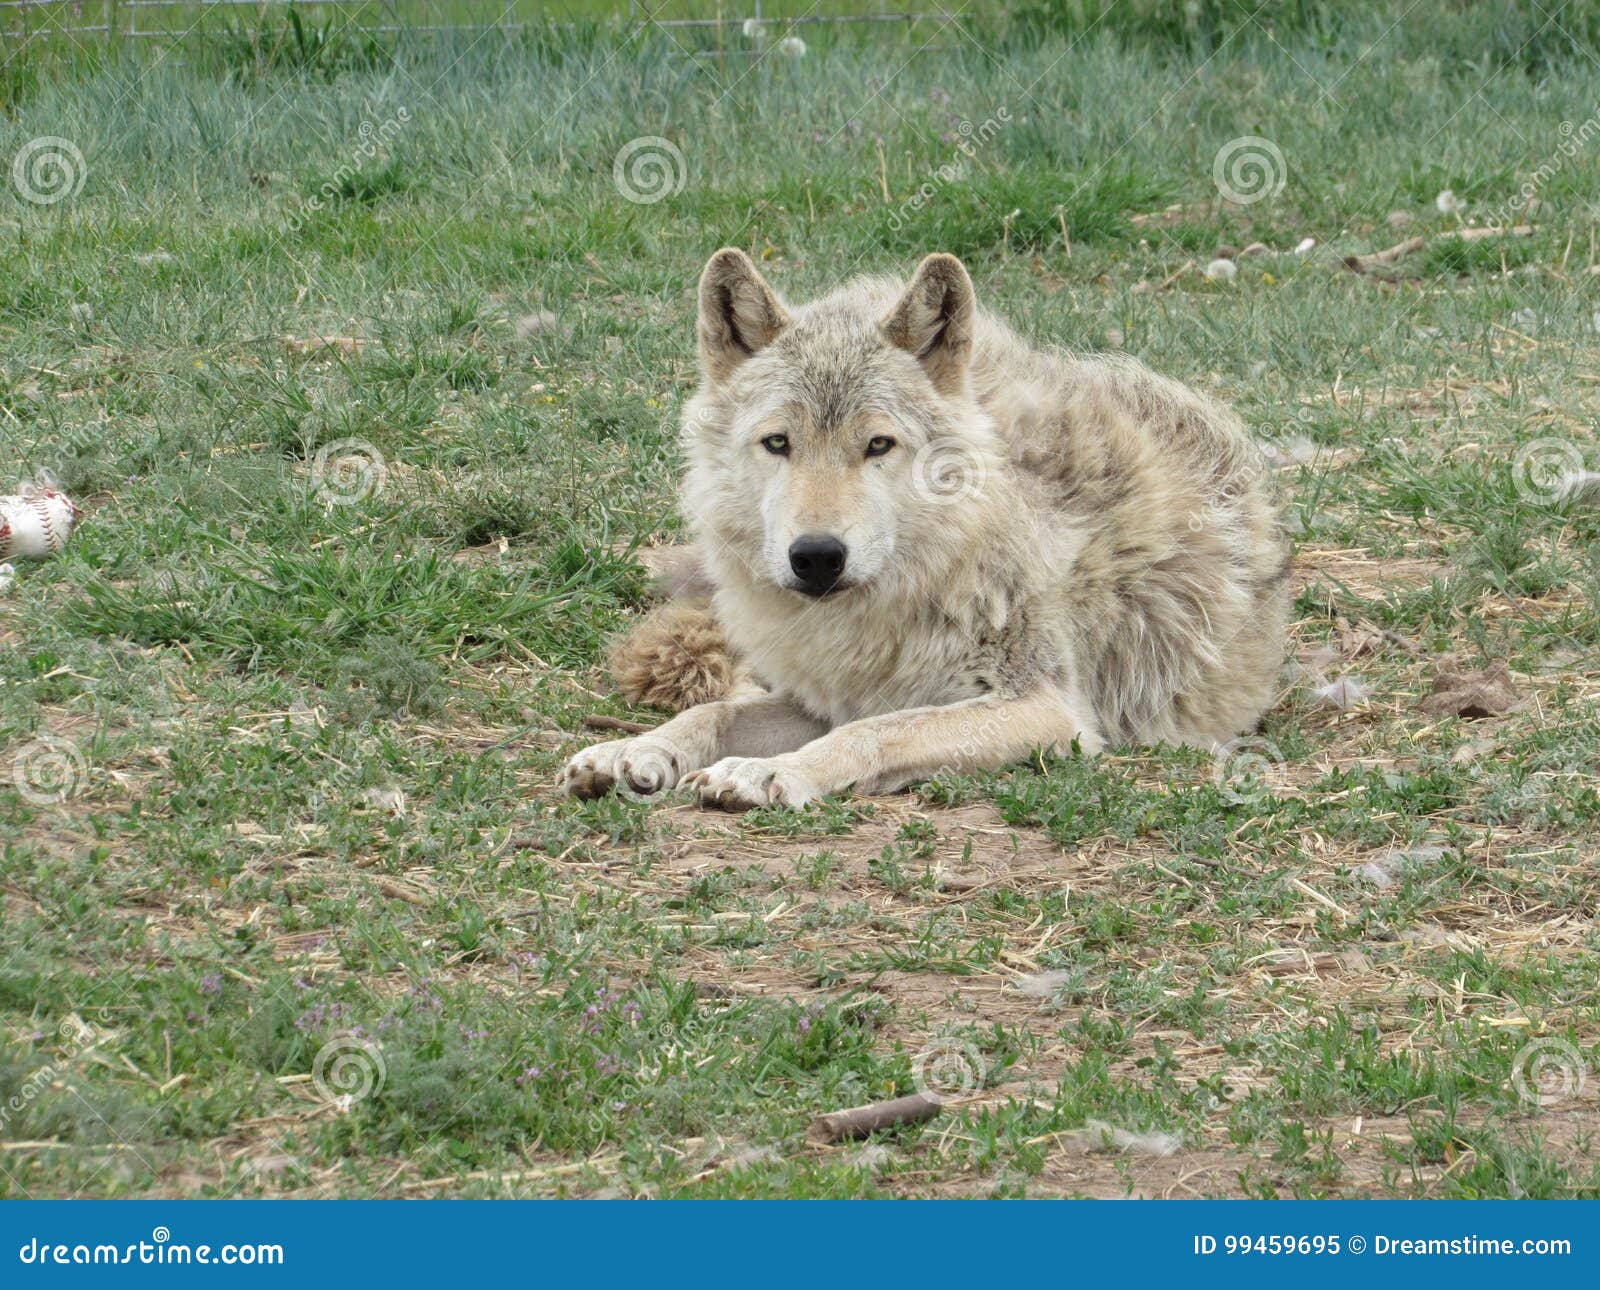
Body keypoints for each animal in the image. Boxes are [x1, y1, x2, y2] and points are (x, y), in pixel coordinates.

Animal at [563, 249, 1291, 810]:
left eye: (879, 445)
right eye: (778, 443)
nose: (817, 556)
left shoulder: (1047, 708)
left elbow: (875, 733)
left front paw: (771, 772)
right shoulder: (825, 697)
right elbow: (710, 713)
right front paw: (634, 750)